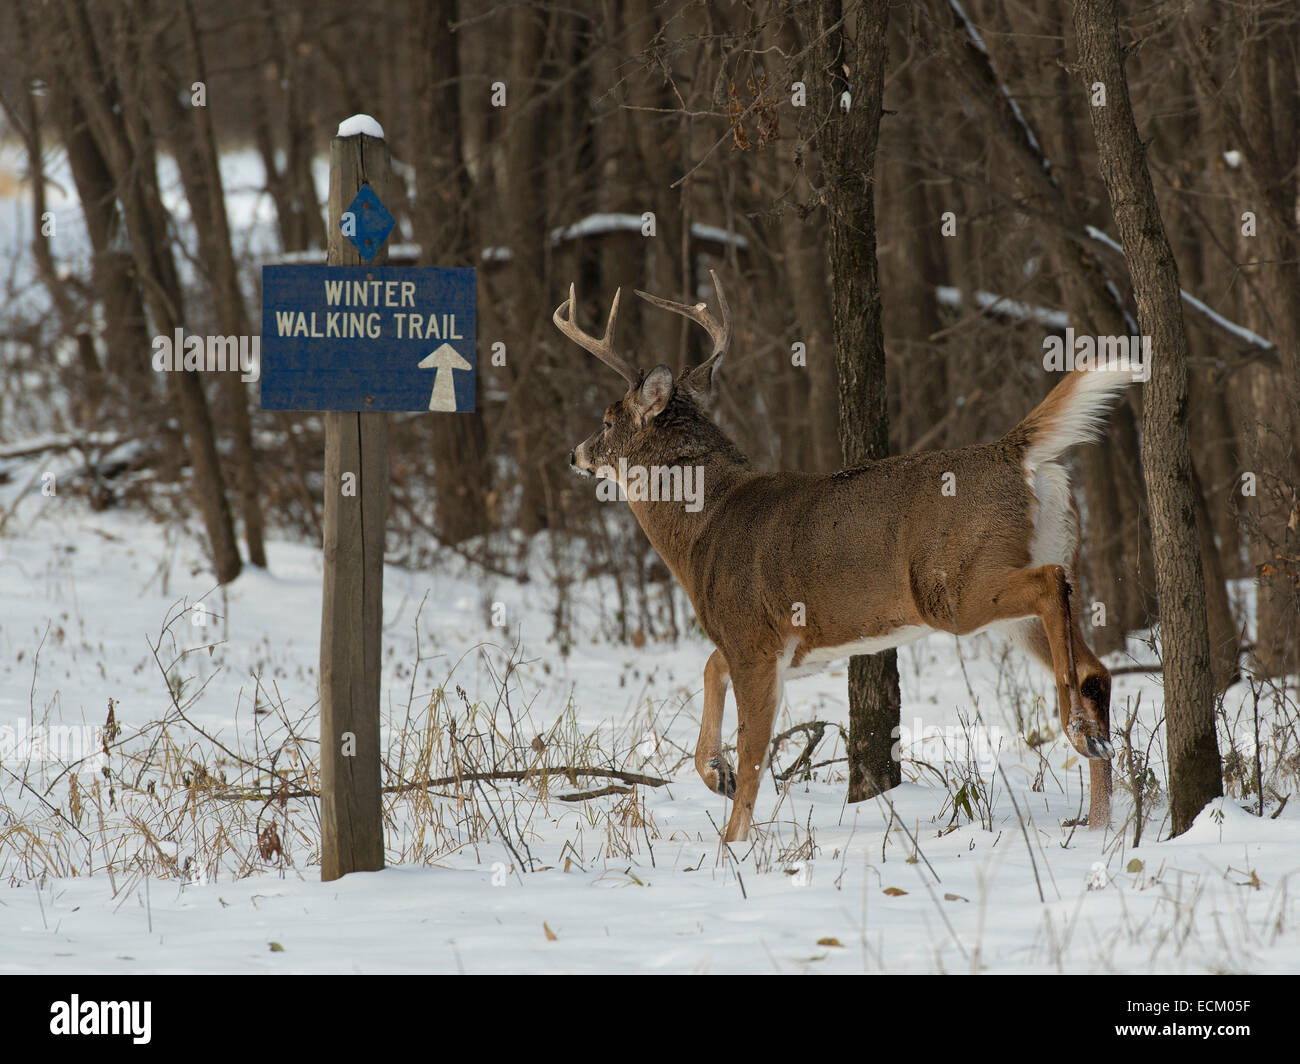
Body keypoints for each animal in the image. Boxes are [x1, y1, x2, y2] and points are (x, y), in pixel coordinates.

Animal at [554, 271, 1132, 842]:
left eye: (607, 420)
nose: (574, 453)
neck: (703, 530)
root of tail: (1014, 453)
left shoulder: (752, 639)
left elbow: (754, 756)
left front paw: (731, 846)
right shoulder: (785, 648)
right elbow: (710, 670)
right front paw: (714, 774)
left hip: (953, 588)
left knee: (1052, 584)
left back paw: (1077, 735)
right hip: (1011, 600)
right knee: (1095, 669)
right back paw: (1100, 813)